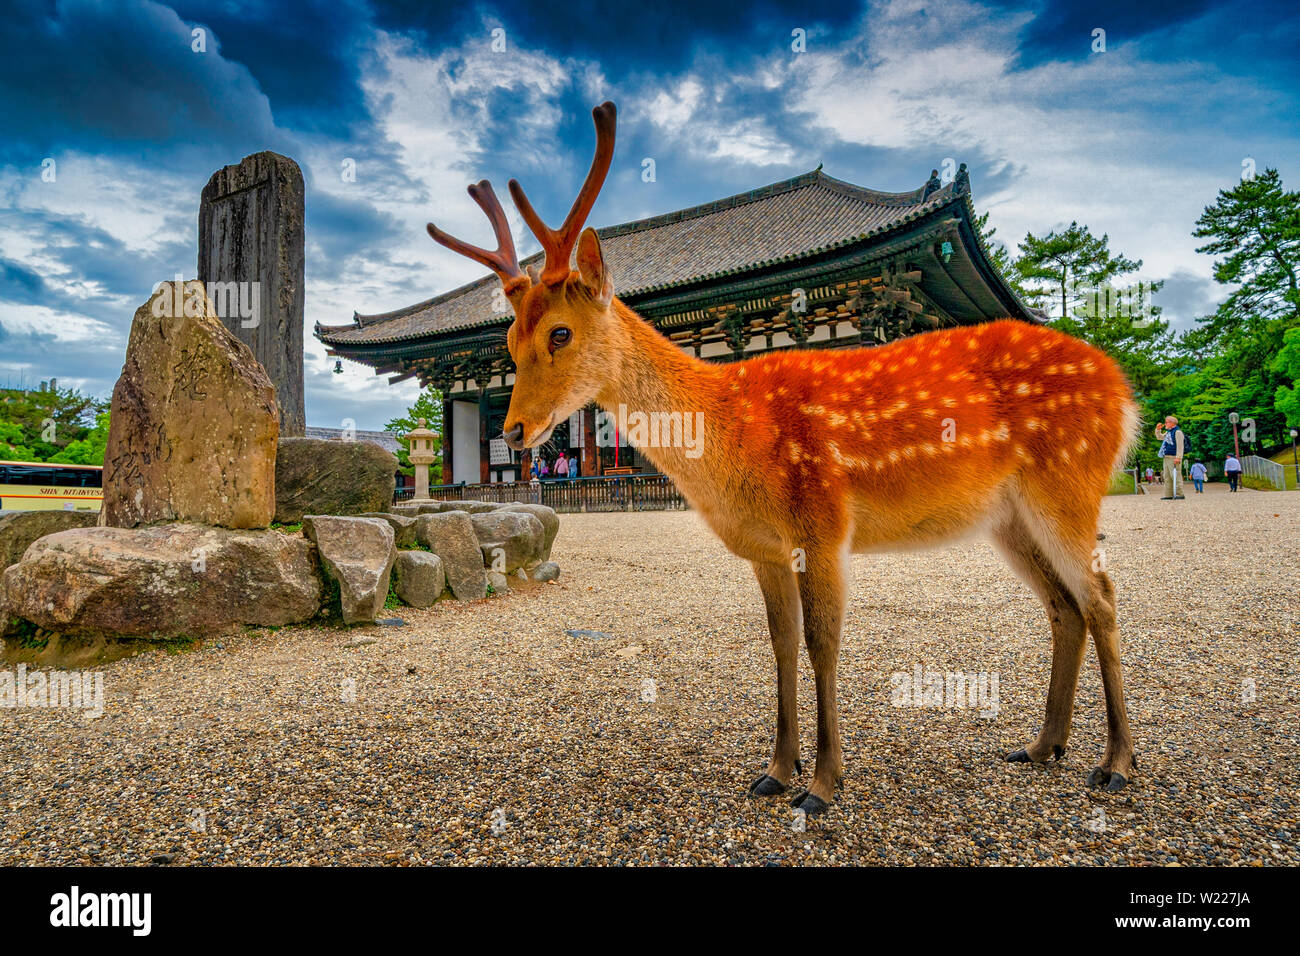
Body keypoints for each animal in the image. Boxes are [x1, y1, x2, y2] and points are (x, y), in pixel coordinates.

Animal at [427, 101, 1140, 815]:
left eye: (561, 332)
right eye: (509, 340)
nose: (515, 430)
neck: (732, 448)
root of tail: (1122, 388)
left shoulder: (820, 525)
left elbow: (824, 643)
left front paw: (823, 784)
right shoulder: (766, 548)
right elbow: (781, 644)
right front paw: (775, 771)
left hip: (1068, 483)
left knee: (1103, 597)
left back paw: (1115, 762)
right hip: (1009, 517)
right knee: (1064, 606)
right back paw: (1043, 746)